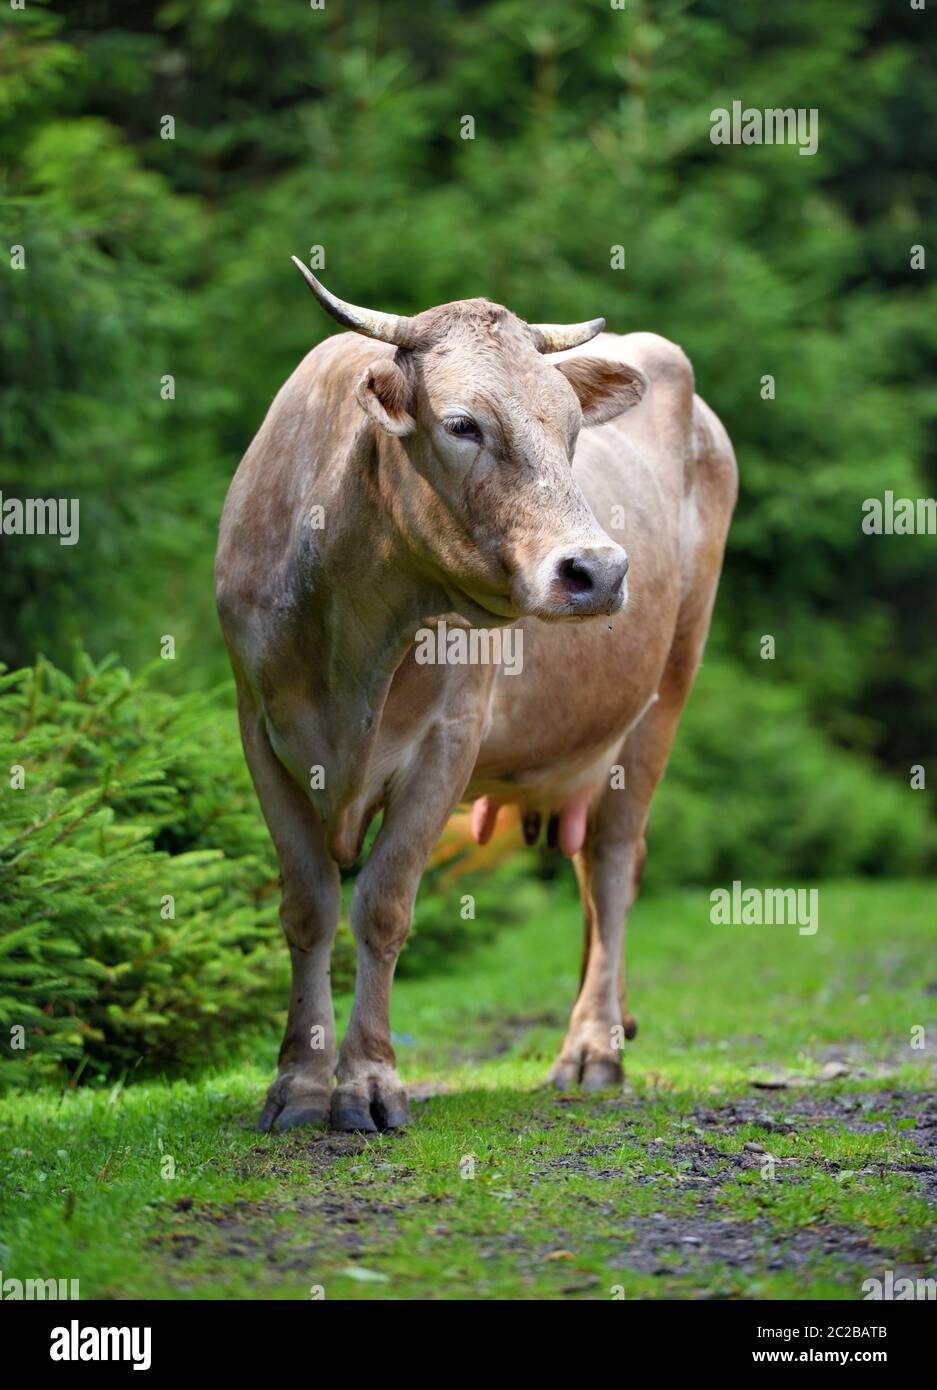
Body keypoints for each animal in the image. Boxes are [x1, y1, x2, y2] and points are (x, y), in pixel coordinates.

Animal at [215, 260, 737, 1133]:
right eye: (462, 425)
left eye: (571, 429)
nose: (598, 570)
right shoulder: (260, 730)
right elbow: (308, 906)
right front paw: (298, 1083)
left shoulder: (448, 740)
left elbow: (383, 904)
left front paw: (367, 1084)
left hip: (662, 695)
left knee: (611, 865)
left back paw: (592, 1050)